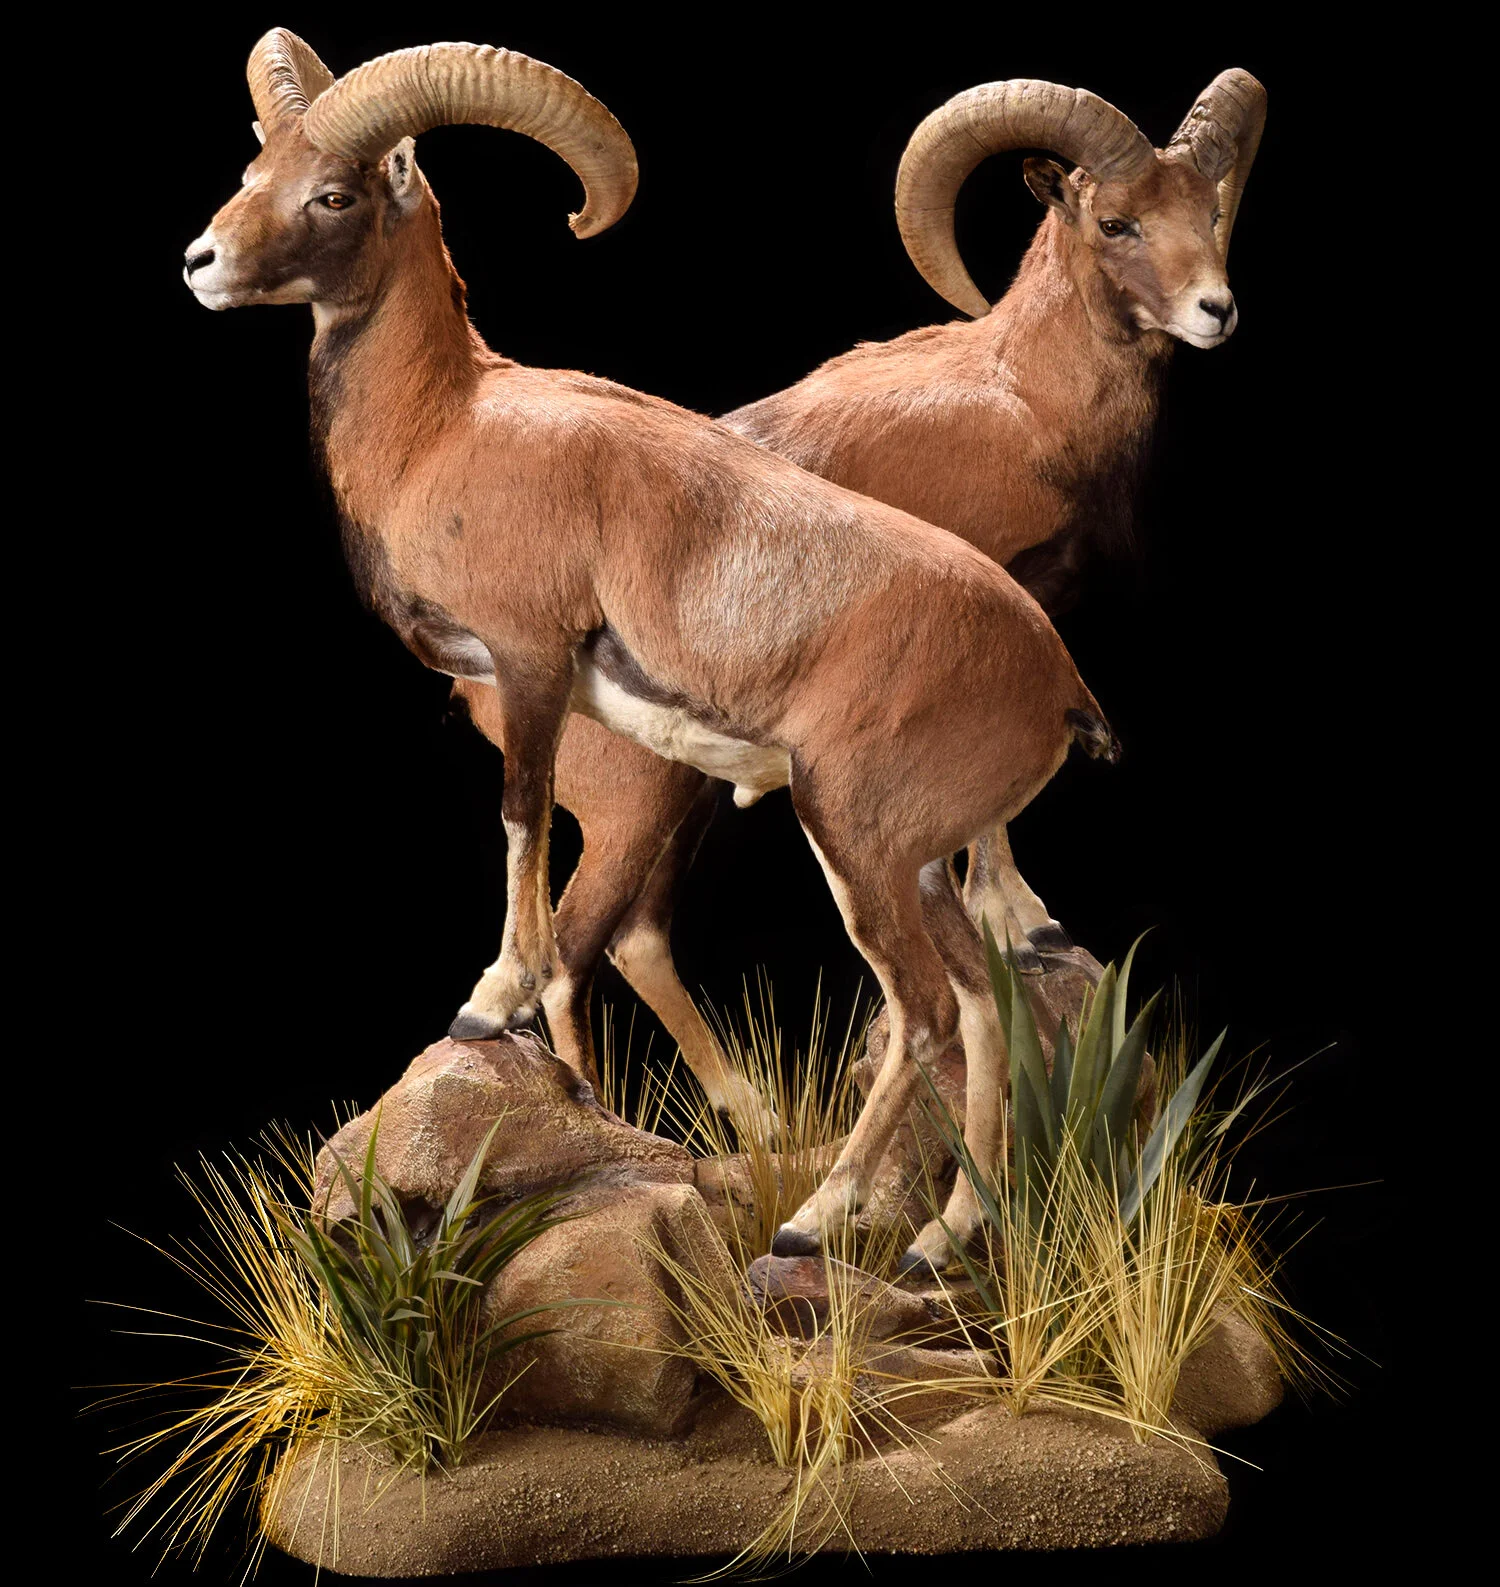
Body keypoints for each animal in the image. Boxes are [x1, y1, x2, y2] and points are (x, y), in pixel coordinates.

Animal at [184, 31, 1119, 1268]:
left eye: (332, 192)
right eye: (254, 172)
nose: (200, 262)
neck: (440, 431)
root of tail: (1057, 686)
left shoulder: (531, 662)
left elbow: (522, 822)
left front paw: (488, 1001)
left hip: (855, 845)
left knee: (920, 1015)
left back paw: (810, 1227)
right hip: (917, 865)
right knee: (977, 1010)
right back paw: (939, 1238)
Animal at [454, 70, 1265, 1146]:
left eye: (1208, 212)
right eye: (1117, 221)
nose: (1215, 310)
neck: (1026, 400)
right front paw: (1025, 924)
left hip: (684, 803)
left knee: (638, 938)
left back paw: (755, 1126)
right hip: (637, 805)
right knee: (578, 954)